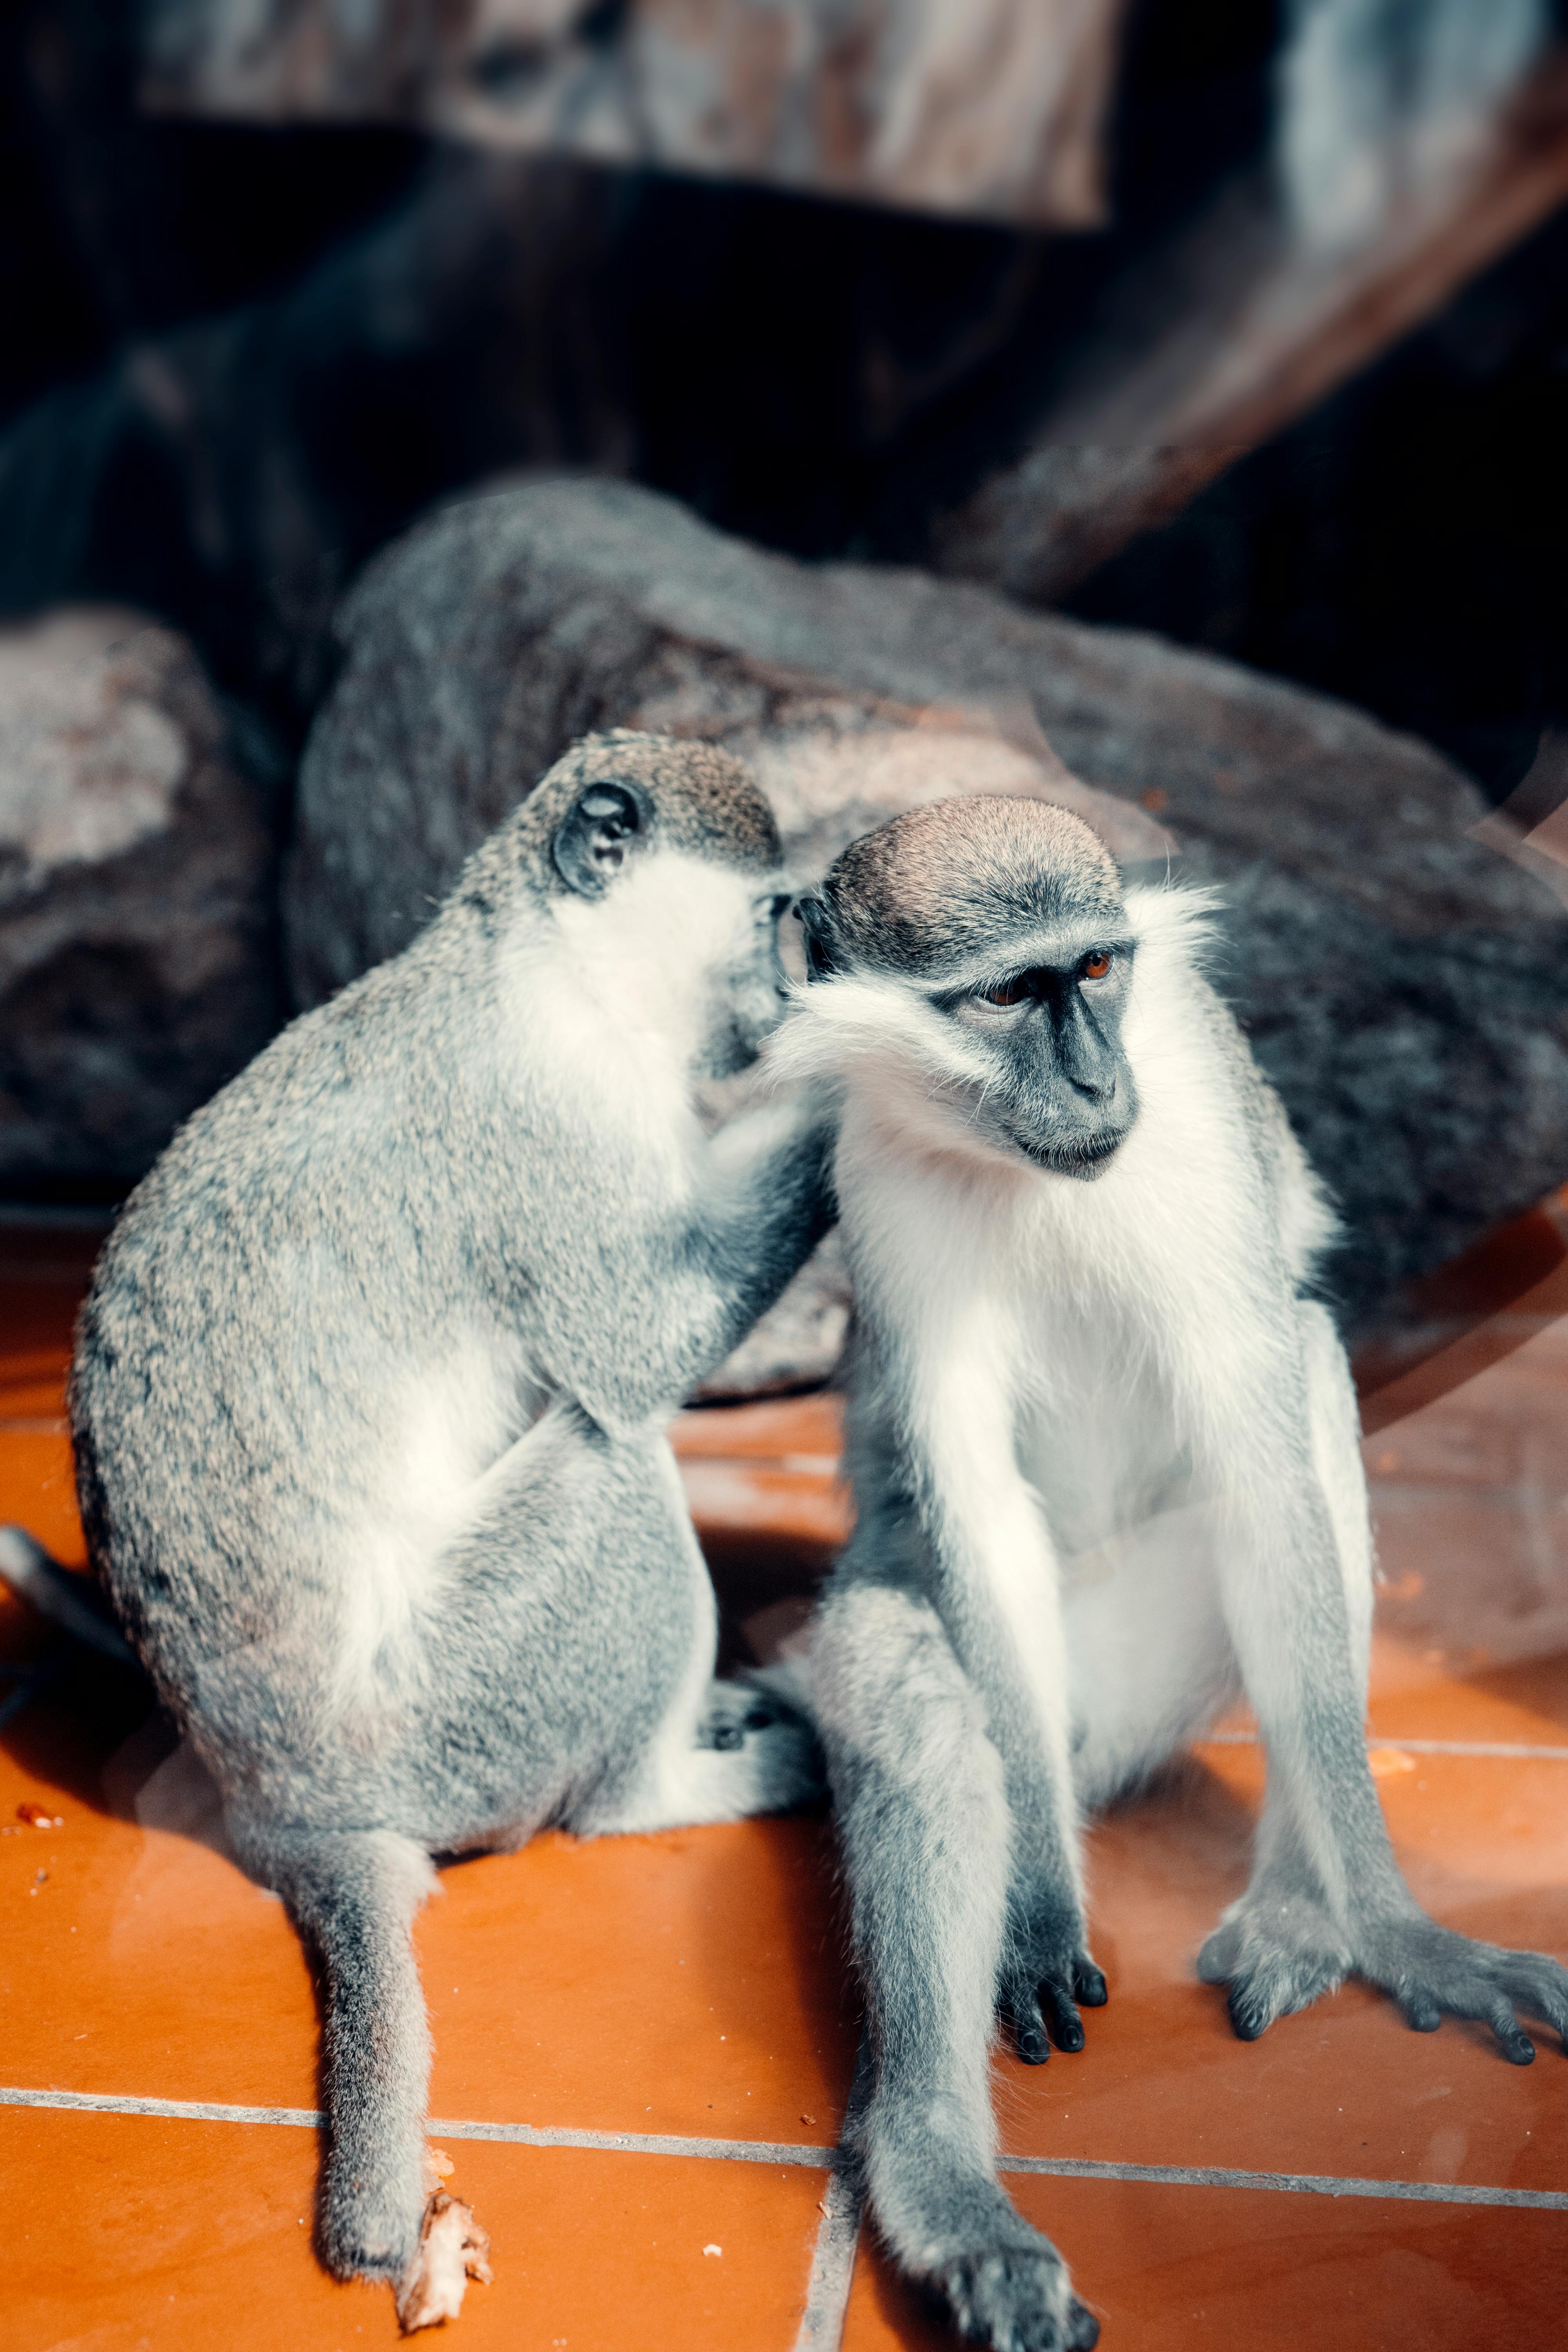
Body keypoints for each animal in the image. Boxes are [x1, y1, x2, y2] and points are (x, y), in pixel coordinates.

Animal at [62, 731, 833, 2331]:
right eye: (768, 918)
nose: (778, 1000)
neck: (546, 966)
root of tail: (288, 1801)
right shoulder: (542, 1119)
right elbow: (630, 1349)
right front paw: (885, 1066)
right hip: (457, 1709)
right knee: (612, 1459)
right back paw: (658, 1788)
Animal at [775, 796, 1568, 2352]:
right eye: (1010, 994)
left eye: (1096, 968)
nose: (1095, 1075)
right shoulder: (876, 1166)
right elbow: (971, 1509)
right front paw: (1035, 1915)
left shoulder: (1189, 1101)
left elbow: (1261, 1458)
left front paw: (1398, 1929)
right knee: (915, 1681)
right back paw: (944, 2182)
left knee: (1302, 1387)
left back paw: (1301, 1908)